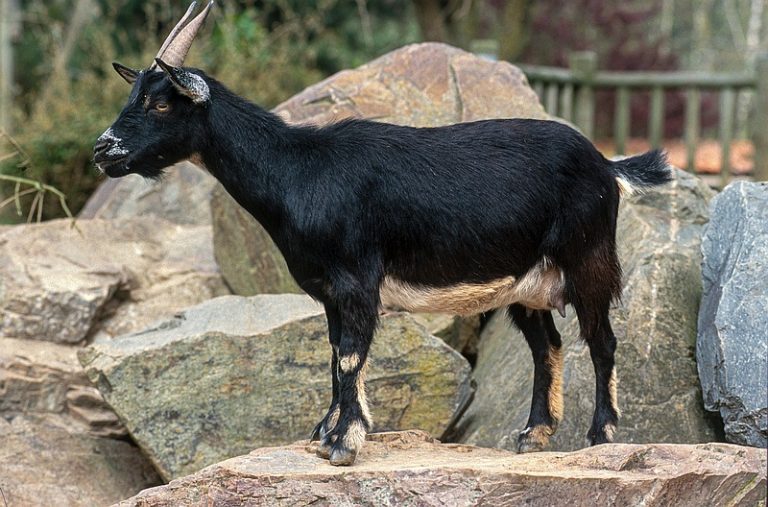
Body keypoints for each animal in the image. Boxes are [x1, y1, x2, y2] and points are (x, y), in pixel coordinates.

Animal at [93, 1, 671, 466]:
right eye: (133, 95)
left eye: (160, 103)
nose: (103, 149)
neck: (300, 169)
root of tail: (606, 164)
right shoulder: (328, 290)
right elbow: (333, 353)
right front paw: (324, 432)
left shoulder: (356, 278)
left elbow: (351, 354)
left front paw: (345, 444)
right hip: (526, 282)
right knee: (546, 342)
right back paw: (533, 435)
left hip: (588, 256)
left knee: (602, 340)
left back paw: (601, 436)